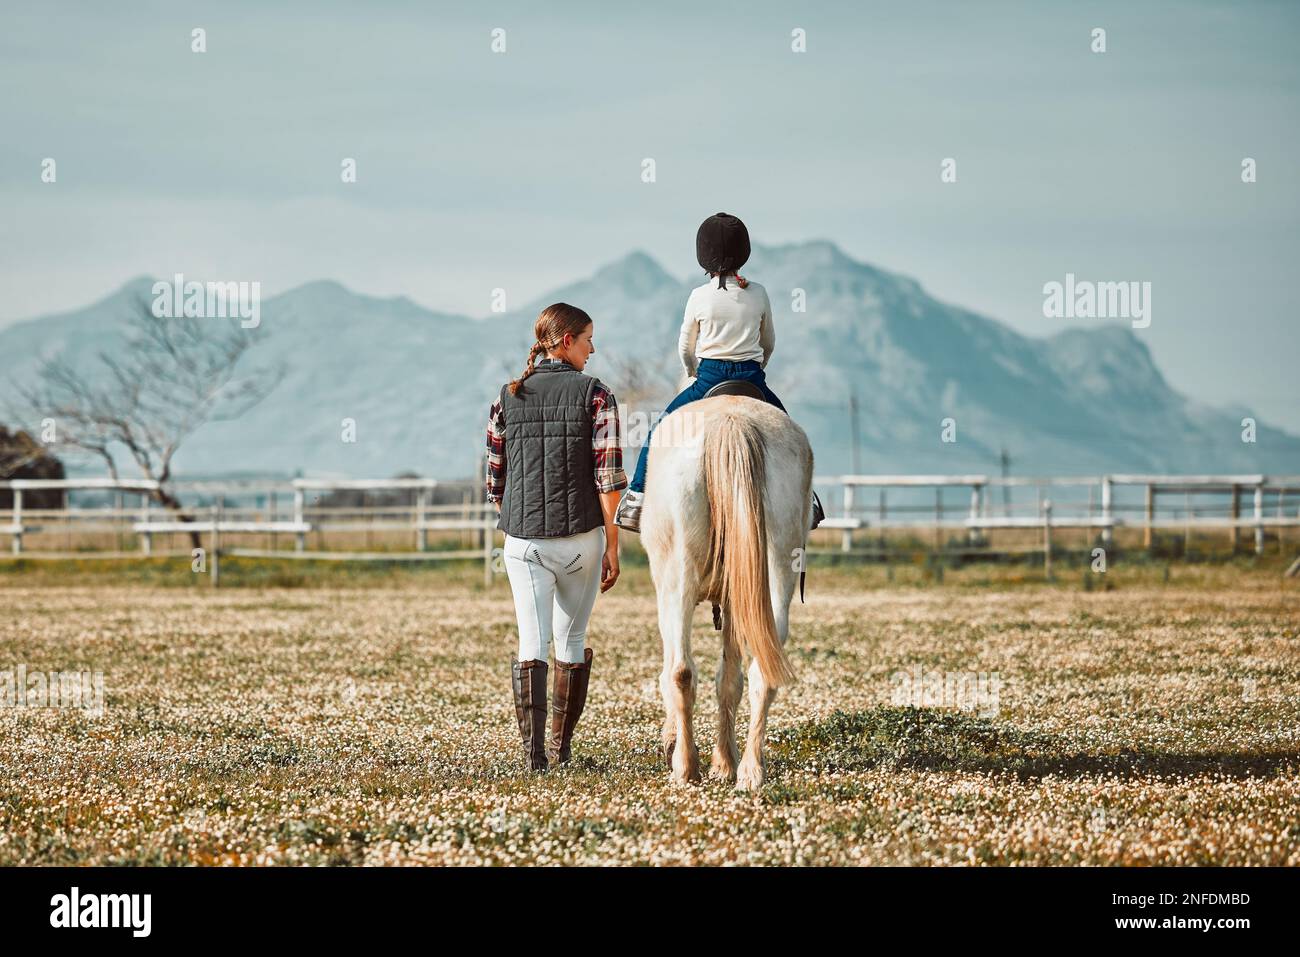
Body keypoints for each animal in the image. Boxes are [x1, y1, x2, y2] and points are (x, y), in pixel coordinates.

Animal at [641, 394, 814, 790]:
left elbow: (674, 673)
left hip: (678, 576)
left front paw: (675, 743)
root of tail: (732, 421)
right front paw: (725, 762)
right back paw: (750, 769)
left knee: (681, 670)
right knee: (763, 670)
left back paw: (686, 766)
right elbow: (730, 681)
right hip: (777, 568)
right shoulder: (737, 601)